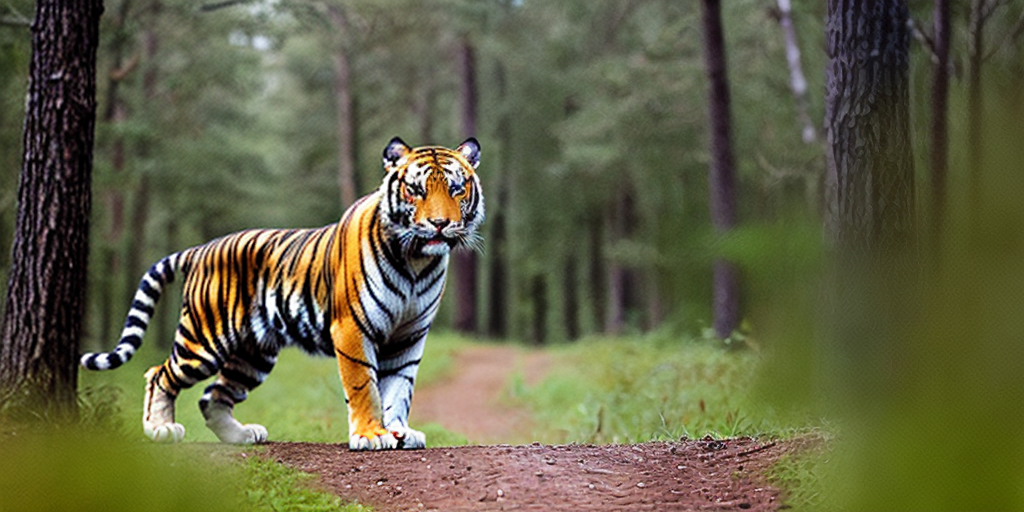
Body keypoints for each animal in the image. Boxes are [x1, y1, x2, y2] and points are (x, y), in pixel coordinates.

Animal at [80, 137, 484, 450]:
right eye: (415, 190)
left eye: (456, 188)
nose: (440, 224)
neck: (417, 260)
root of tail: (202, 248)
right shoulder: (352, 328)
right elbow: (364, 386)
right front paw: (371, 435)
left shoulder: (409, 334)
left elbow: (400, 388)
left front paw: (400, 431)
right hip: (204, 340)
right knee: (159, 374)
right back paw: (161, 429)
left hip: (252, 354)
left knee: (213, 396)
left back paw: (241, 435)